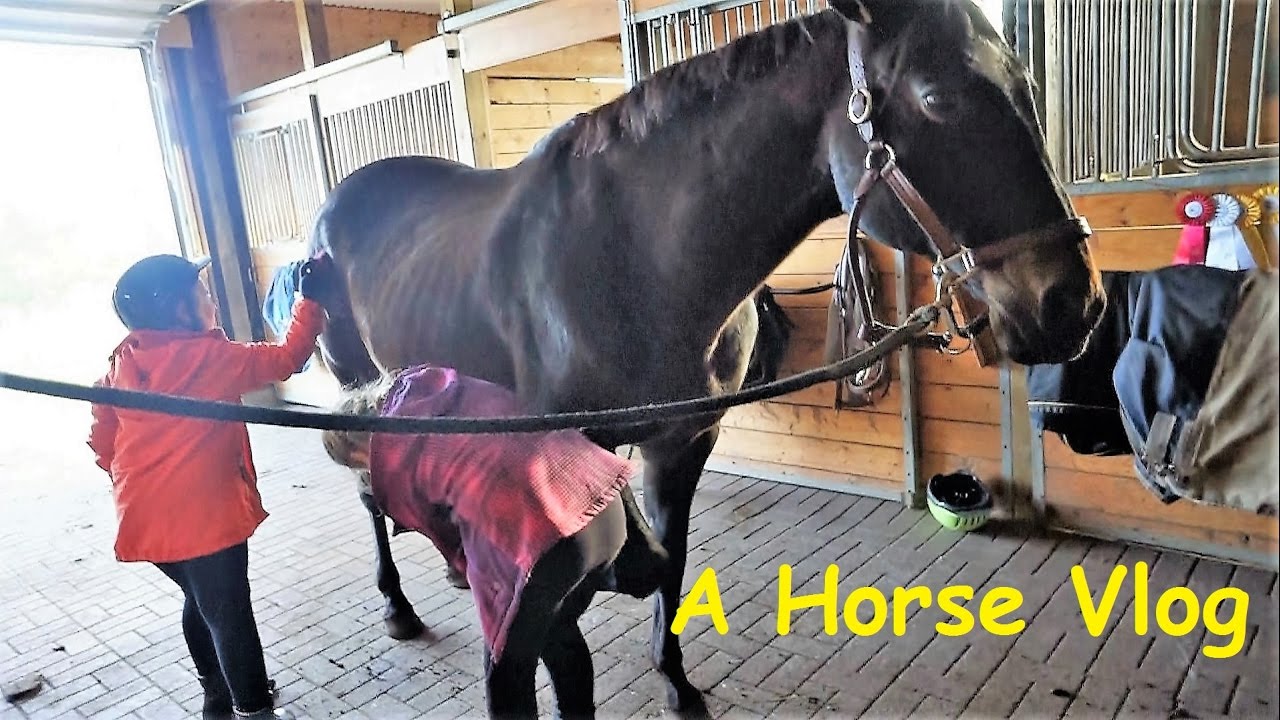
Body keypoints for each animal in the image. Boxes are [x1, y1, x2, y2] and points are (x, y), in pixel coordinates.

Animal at [308, 0, 1105, 714]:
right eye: (938, 98)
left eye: (1025, 84)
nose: (1076, 304)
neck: (631, 260)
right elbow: (564, 623)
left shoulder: (684, 443)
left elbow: (673, 564)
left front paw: (677, 685)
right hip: (364, 391)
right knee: (368, 493)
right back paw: (398, 607)